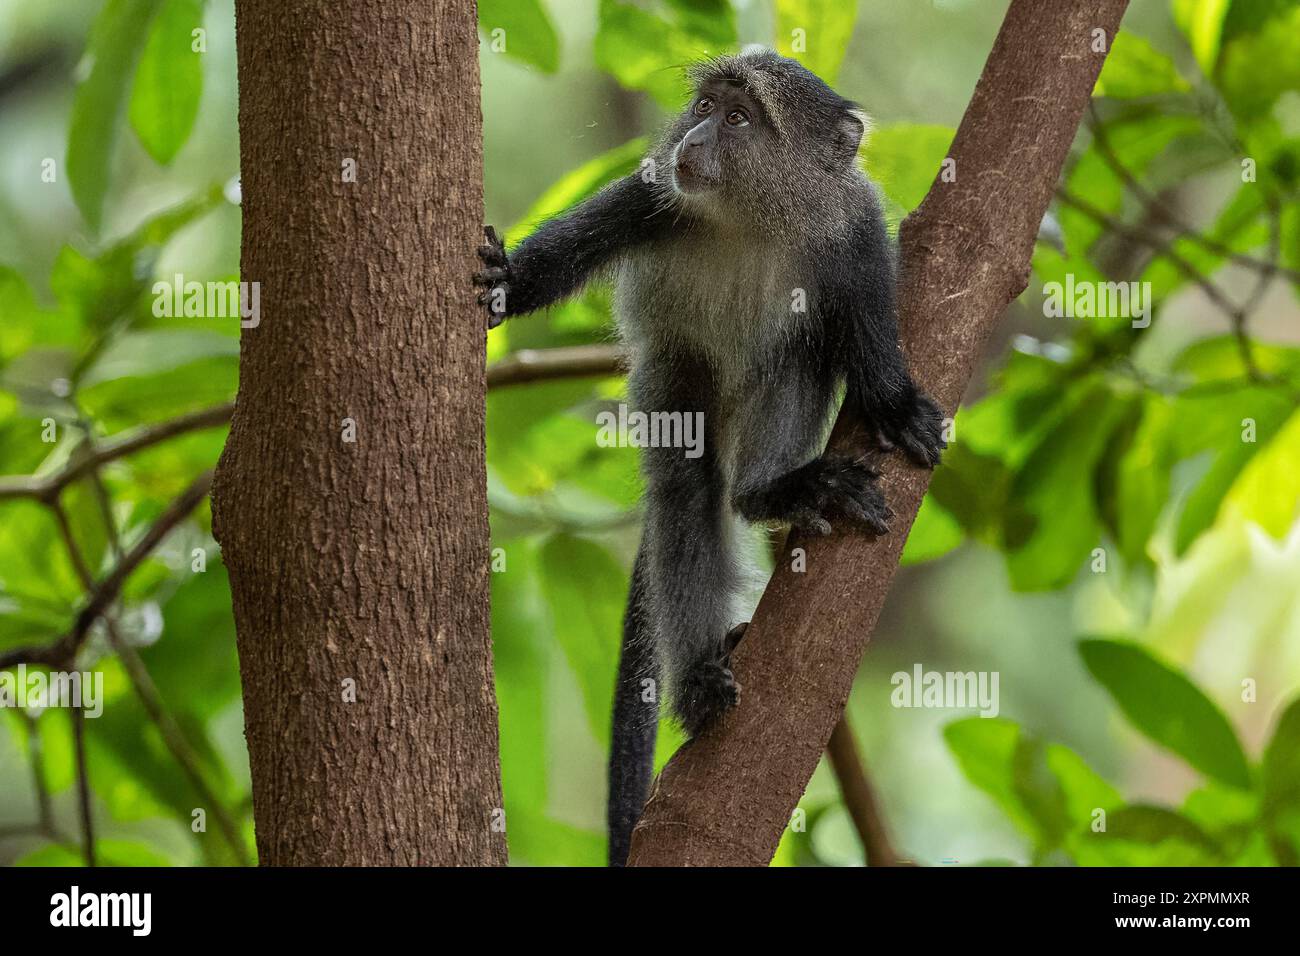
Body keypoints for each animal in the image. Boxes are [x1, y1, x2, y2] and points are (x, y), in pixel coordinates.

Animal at [474, 47, 945, 866]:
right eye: (703, 106)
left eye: (739, 117)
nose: (694, 139)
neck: (749, 217)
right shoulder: (652, 194)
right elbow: (570, 252)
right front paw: (507, 281)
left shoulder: (854, 234)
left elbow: (864, 332)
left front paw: (894, 405)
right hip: (676, 375)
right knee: (685, 492)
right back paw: (699, 676)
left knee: (798, 354)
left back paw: (771, 491)